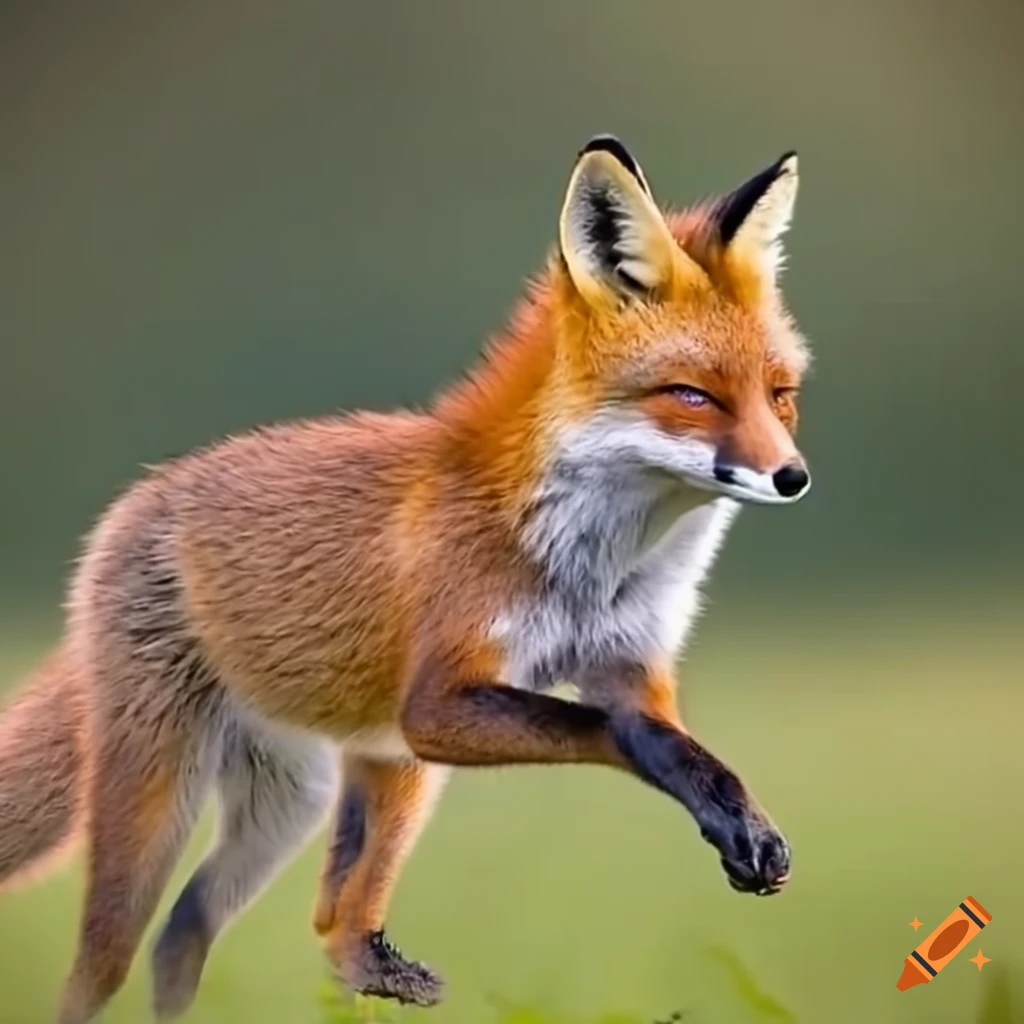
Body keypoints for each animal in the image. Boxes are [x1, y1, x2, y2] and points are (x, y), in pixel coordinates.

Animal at [0, 134, 812, 1022]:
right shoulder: (438, 700)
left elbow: (688, 751)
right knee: (104, 965)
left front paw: (741, 823)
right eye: (692, 396)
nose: (792, 477)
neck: (588, 568)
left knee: (259, 923)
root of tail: (138, 499)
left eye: (780, 395)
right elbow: (609, 730)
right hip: (181, 795)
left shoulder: (626, 666)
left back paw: (366, 964)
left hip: (319, 790)